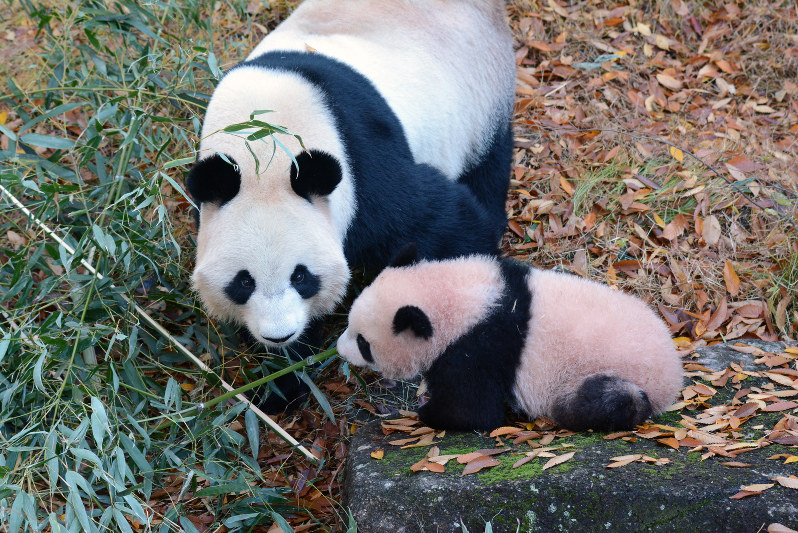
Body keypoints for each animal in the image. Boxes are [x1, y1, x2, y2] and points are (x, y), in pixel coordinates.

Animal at [185, 0, 516, 410]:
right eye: (243, 282)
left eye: (300, 276)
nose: (280, 334)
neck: (263, 150)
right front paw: (280, 382)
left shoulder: (363, 165)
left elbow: (443, 225)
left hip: (480, 101)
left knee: (487, 168)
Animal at [337, 245, 684, 432]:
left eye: (364, 343)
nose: (339, 351)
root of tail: (674, 377)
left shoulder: (481, 347)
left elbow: (473, 410)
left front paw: (427, 412)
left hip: (614, 376)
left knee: (604, 401)